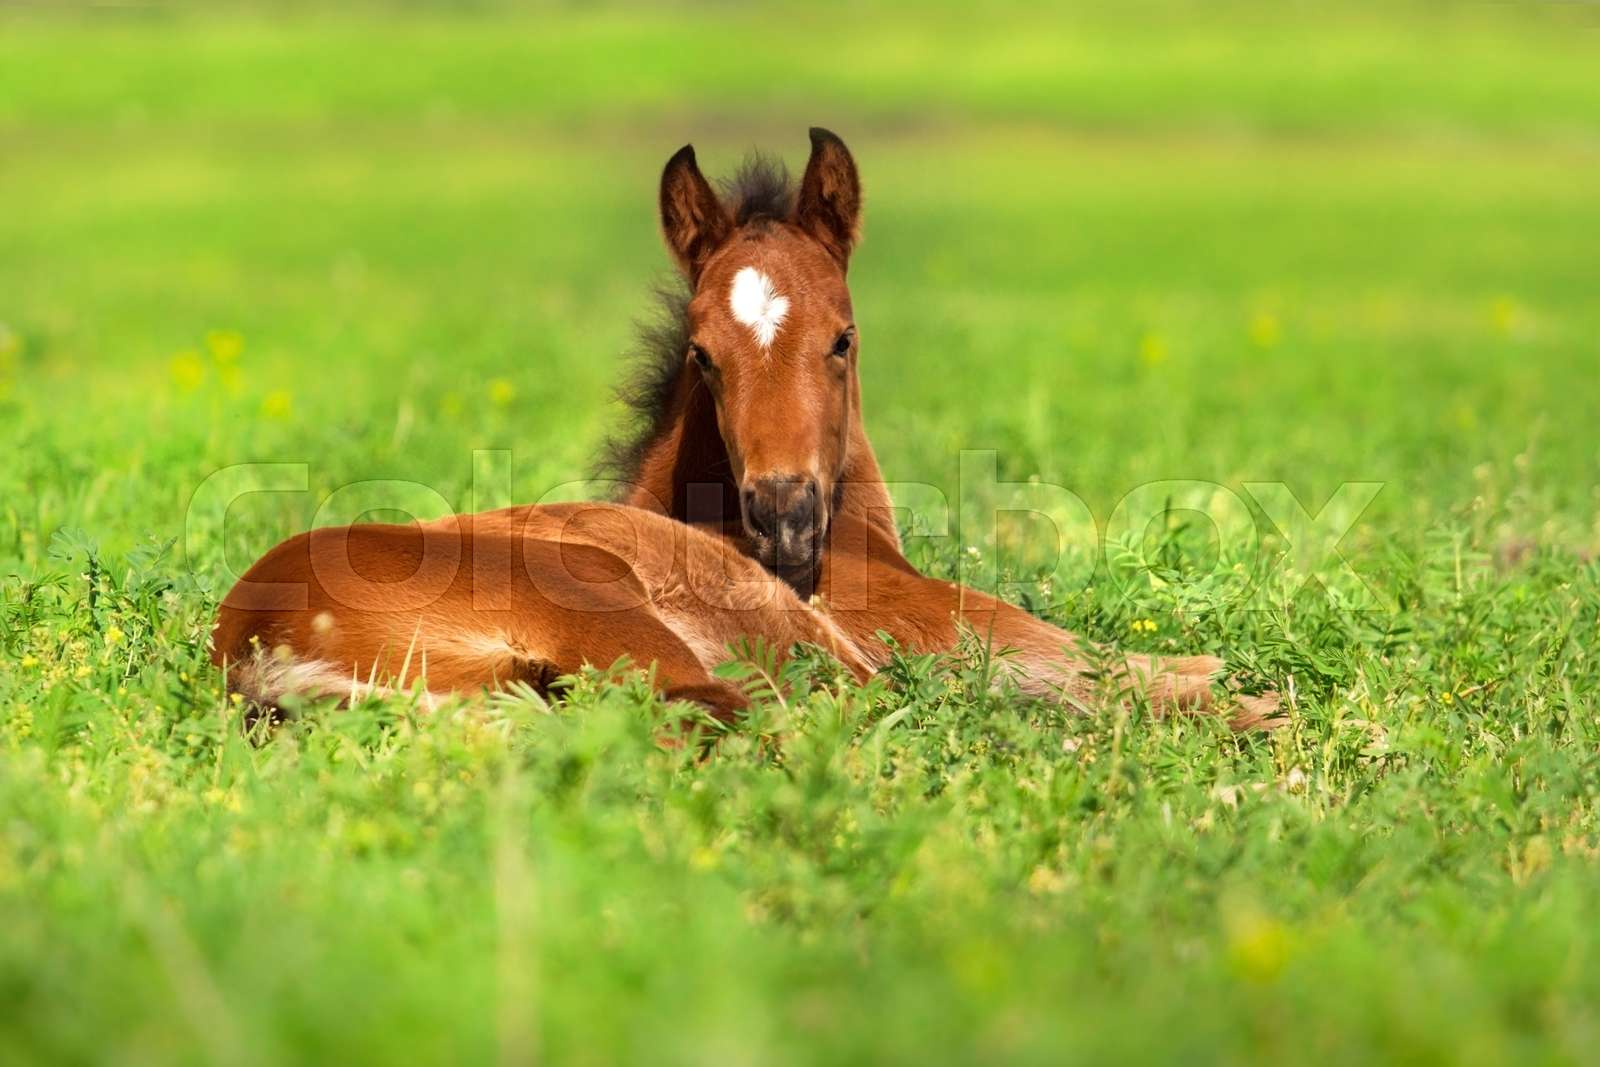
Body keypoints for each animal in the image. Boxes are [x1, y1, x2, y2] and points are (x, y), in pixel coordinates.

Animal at [210, 128, 1280, 730]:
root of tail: (256, 644)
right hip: (615, 609)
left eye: (842, 338)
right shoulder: (927, 621)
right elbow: (1085, 661)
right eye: (703, 354)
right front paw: (1245, 699)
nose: (785, 518)